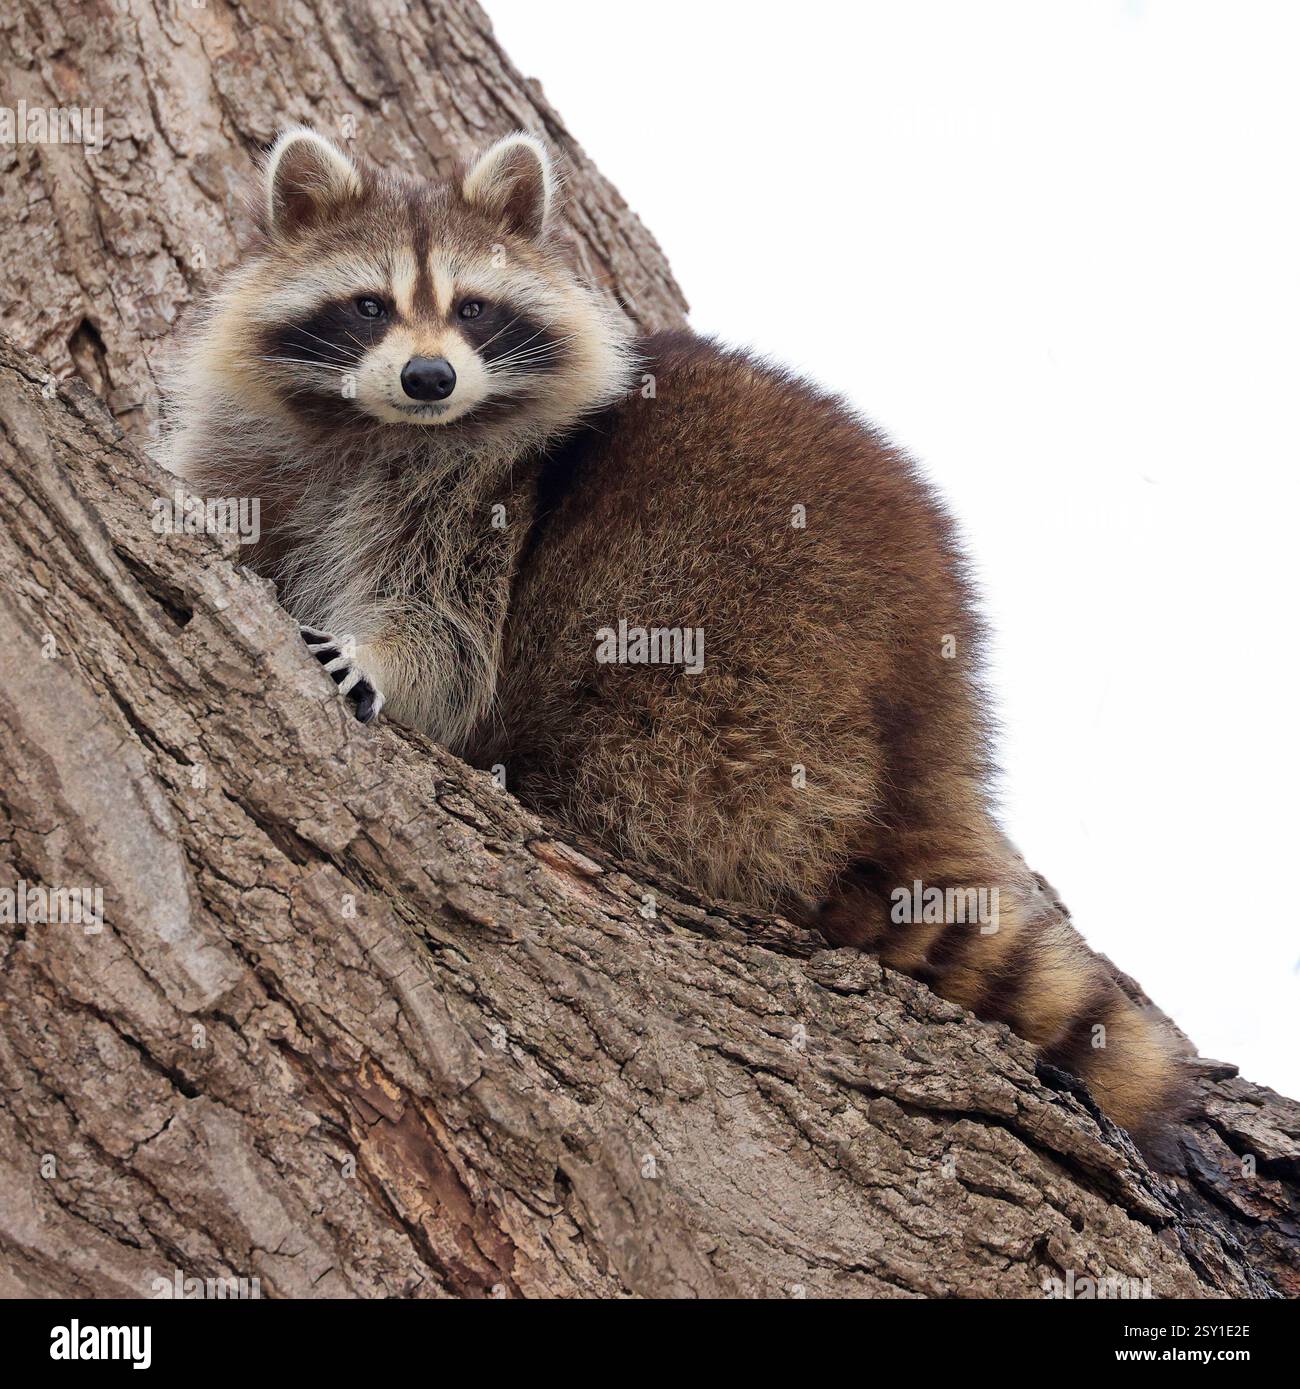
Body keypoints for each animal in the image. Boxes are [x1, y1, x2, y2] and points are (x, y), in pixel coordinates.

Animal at [162, 128, 1191, 1149]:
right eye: (370, 306)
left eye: (474, 309)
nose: (430, 378)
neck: (369, 425)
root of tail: (926, 717)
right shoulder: (267, 454)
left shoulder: (484, 499)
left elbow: (450, 645)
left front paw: (379, 660)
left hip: (746, 670)